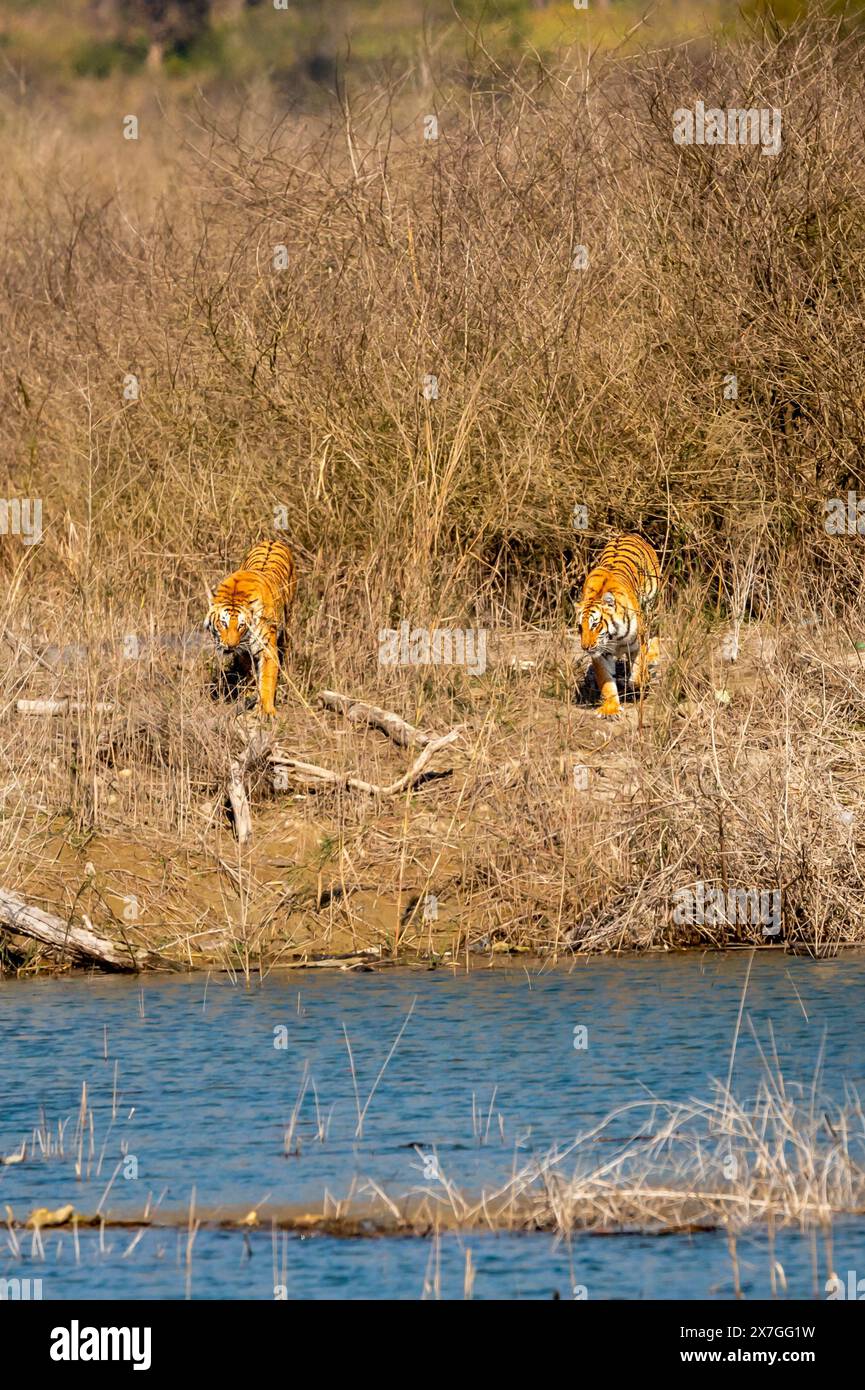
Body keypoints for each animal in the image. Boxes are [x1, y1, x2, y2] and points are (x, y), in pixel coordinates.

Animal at [205, 539, 297, 716]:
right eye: (223, 623)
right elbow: (250, 674)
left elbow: (267, 680)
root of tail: (273, 540)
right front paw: (249, 694)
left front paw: (266, 711)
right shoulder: (243, 652)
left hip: (289, 616)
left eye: (241, 625)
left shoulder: (268, 649)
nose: (230, 645)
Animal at [578, 534, 661, 718]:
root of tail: (627, 534)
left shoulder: (638, 643)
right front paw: (610, 709)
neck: (613, 637)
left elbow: (637, 672)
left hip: (651, 605)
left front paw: (639, 682)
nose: (585, 647)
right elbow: (606, 681)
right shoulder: (600, 654)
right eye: (580, 627)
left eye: (595, 625)